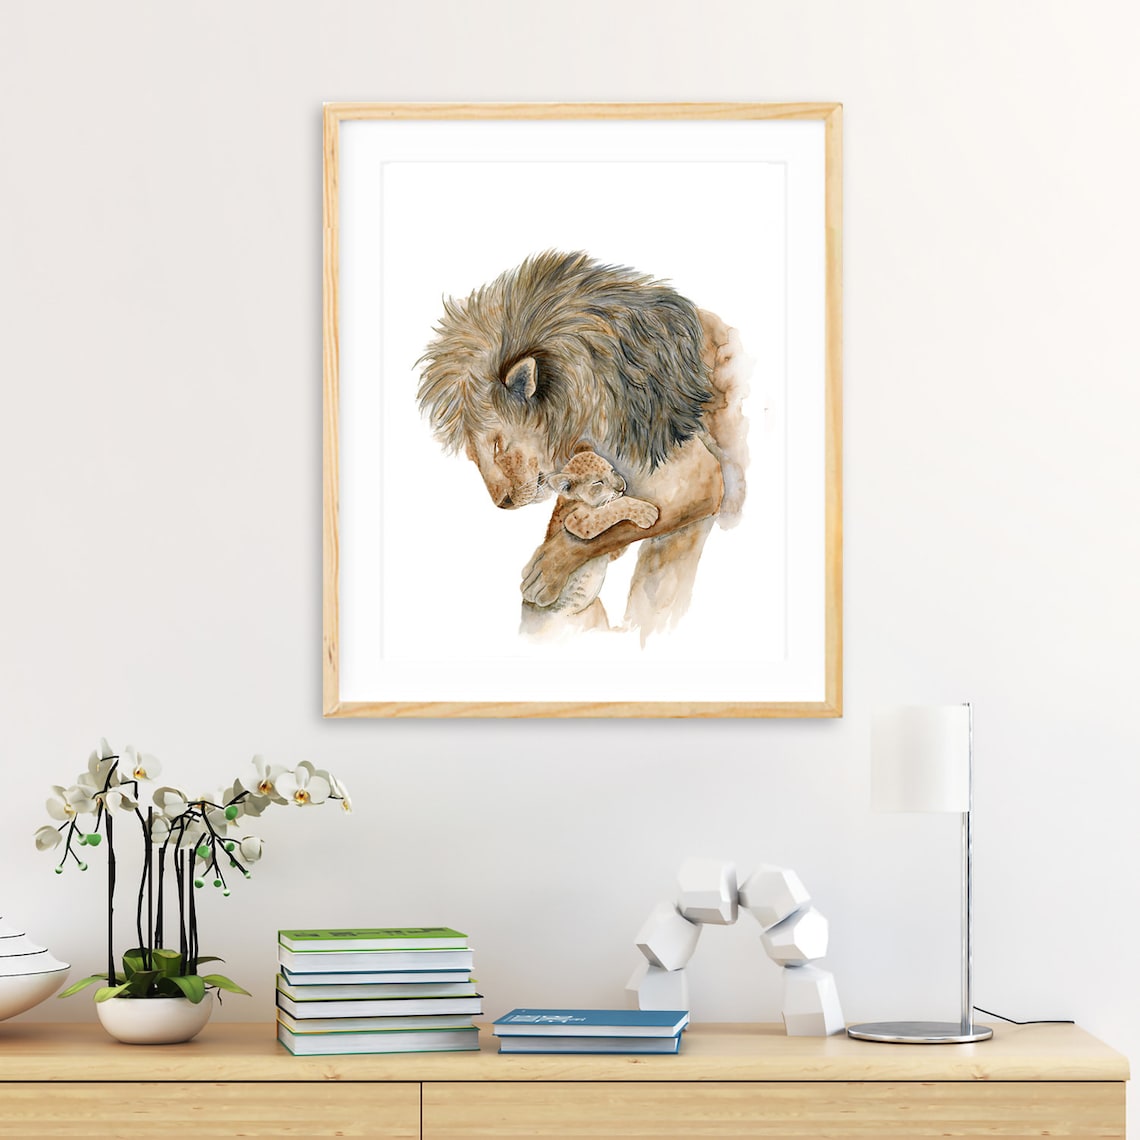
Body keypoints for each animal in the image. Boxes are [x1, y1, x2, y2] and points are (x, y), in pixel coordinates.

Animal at [417, 250, 750, 640]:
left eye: (497, 445)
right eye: (472, 456)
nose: (502, 504)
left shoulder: (698, 478)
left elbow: (608, 519)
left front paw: (548, 568)